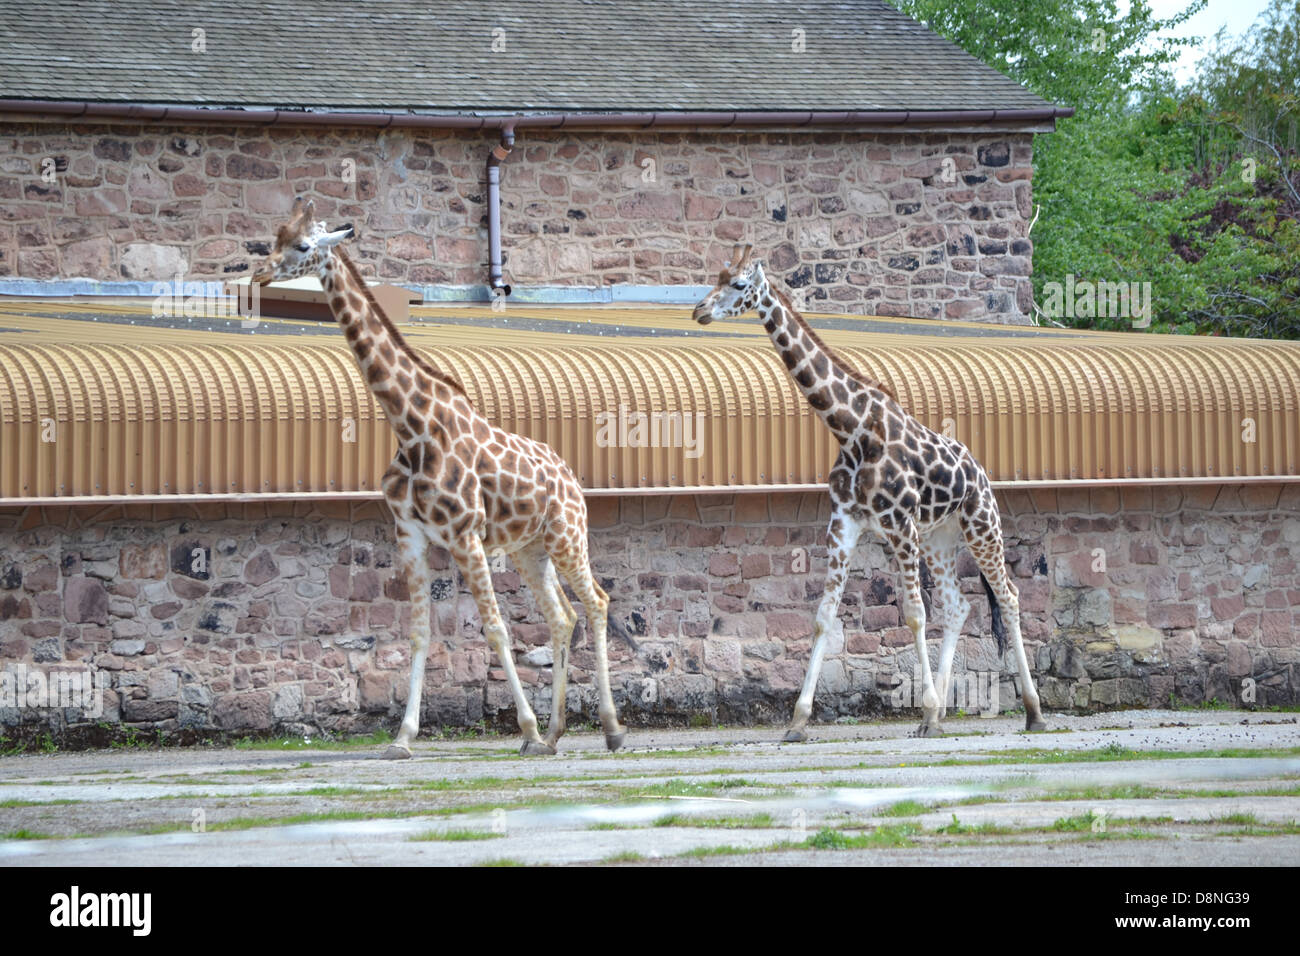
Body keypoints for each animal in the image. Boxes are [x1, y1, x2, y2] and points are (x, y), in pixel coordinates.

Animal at [250, 198, 631, 757]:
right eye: (272, 238)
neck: (412, 428)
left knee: (597, 601)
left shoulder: (465, 536)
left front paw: (525, 728)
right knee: (562, 616)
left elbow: (495, 630)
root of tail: (570, 477)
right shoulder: (410, 534)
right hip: (529, 548)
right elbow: (418, 634)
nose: (259, 273)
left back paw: (608, 729)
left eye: (301, 246)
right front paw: (403, 737)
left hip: (567, 534)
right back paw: (557, 733)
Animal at [692, 244, 1047, 740]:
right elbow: (824, 617)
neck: (850, 429)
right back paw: (941, 717)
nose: (699, 311)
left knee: (1009, 596)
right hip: (939, 537)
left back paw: (1032, 712)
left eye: (739, 284)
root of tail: (980, 471)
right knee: (958, 606)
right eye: (716, 279)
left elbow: (915, 614)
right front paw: (798, 721)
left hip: (981, 524)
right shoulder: (844, 523)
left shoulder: (899, 525)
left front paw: (926, 710)